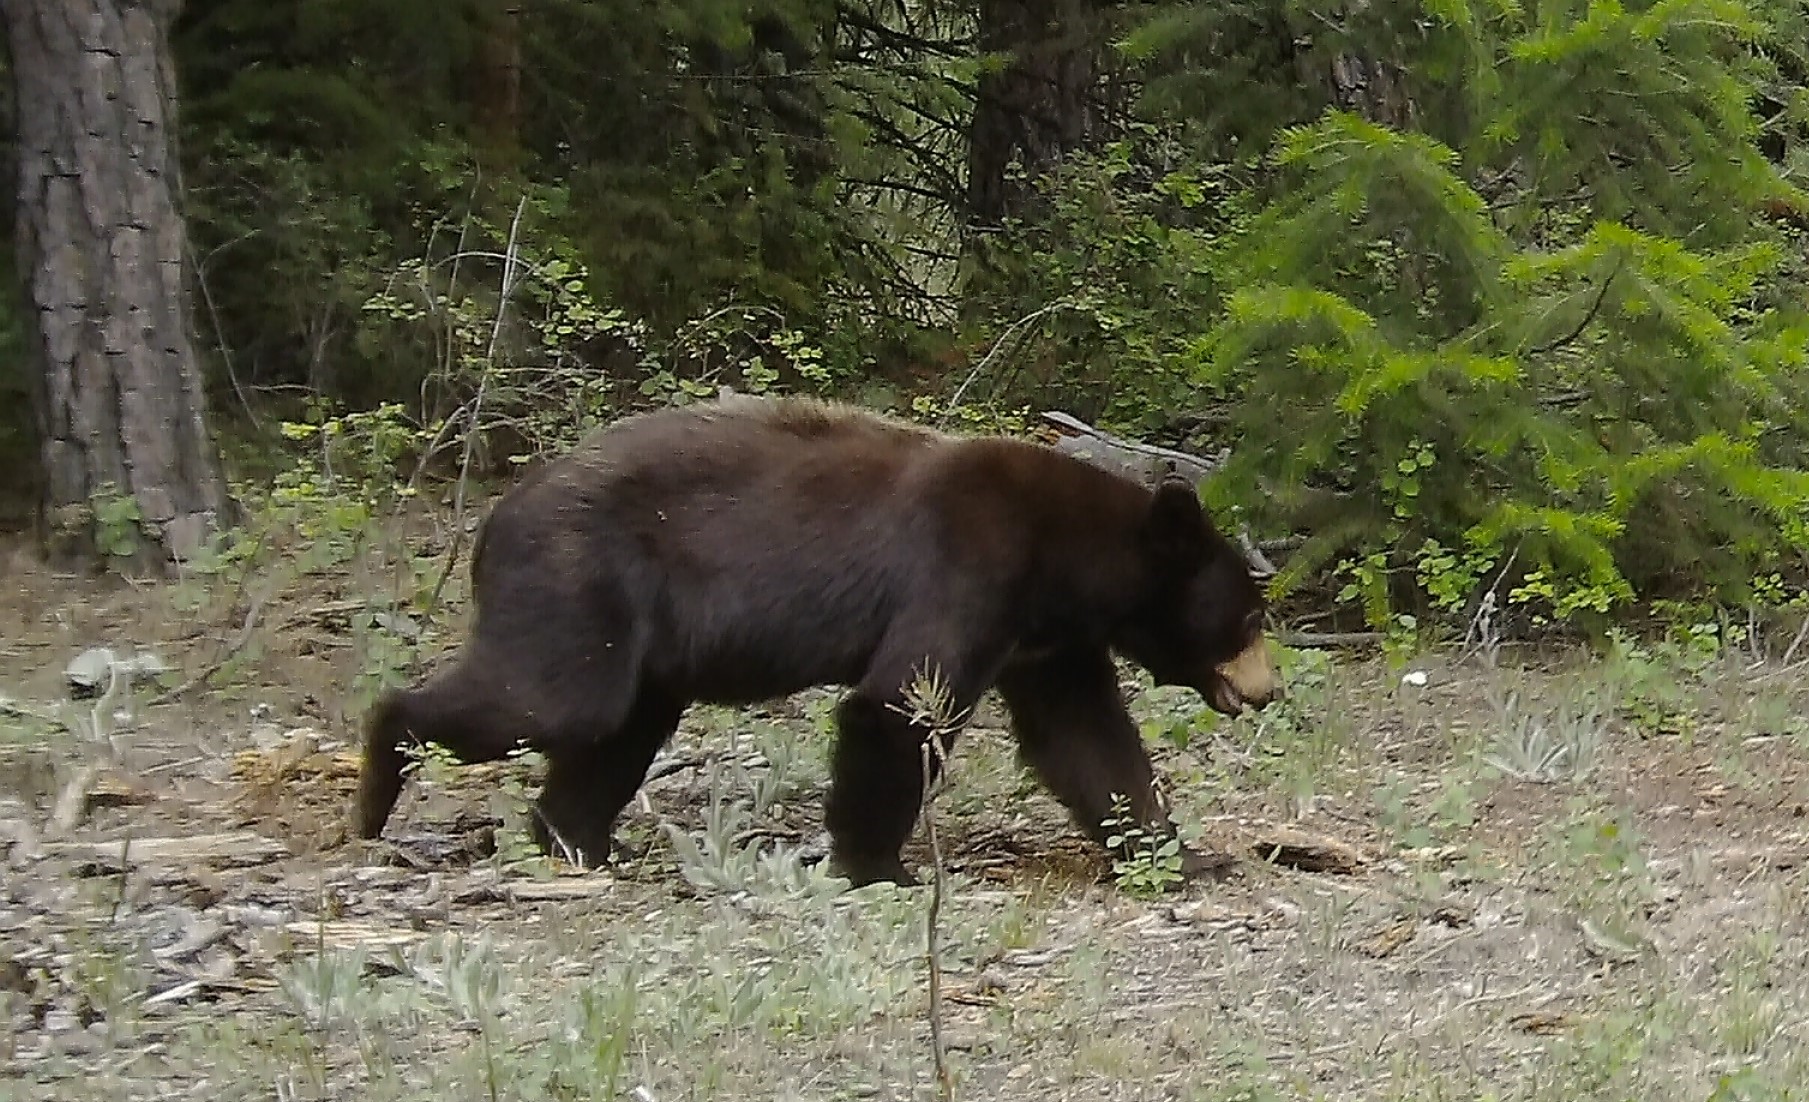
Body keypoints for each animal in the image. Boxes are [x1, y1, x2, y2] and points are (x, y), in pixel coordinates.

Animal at [352, 395, 1280, 887]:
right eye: (1248, 619)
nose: (1267, 689)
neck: (1066, 561)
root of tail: (494, 520)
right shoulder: (970, 567)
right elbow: (896, 705)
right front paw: (880, 867)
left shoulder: (1047, 644)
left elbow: (1087, 741)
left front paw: (1183, 854)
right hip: (579, 581)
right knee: (547, 699)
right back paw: (378, 791)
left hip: (639, 645)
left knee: (614, 733)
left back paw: (578, 841)